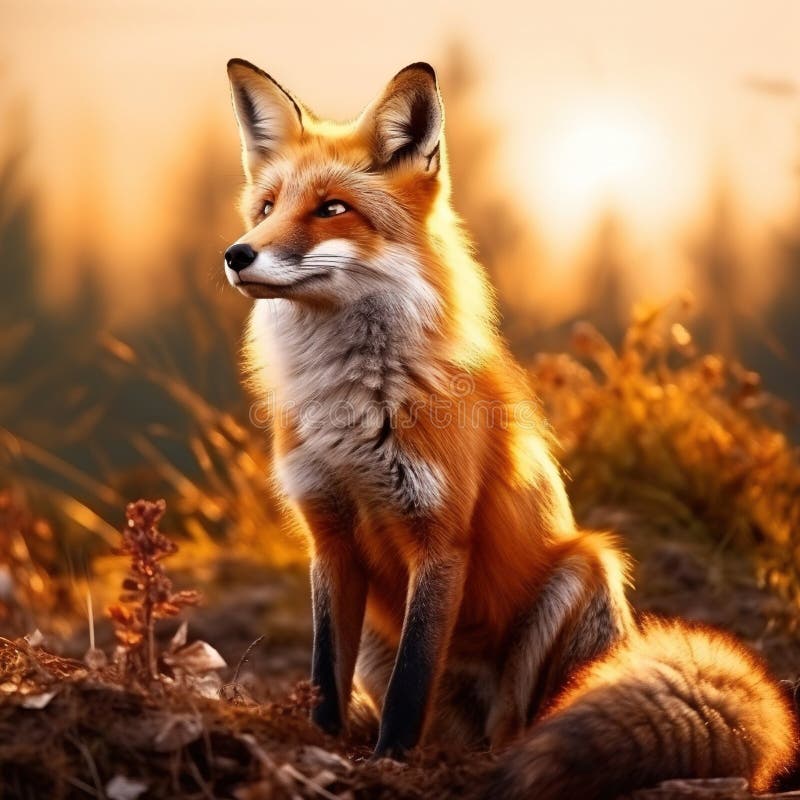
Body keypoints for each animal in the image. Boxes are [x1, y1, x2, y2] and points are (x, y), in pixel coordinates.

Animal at [222, 58, 797, 798]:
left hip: (581, 571)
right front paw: (319, 748)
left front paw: (388, 762)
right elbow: (325, 675)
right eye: (266, 208)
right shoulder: (330, 537)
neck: (352, 407)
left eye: (332, 209)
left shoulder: (441, 539)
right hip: (388, 634)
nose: (237, 254)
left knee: (519, 726)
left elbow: (411, 684)